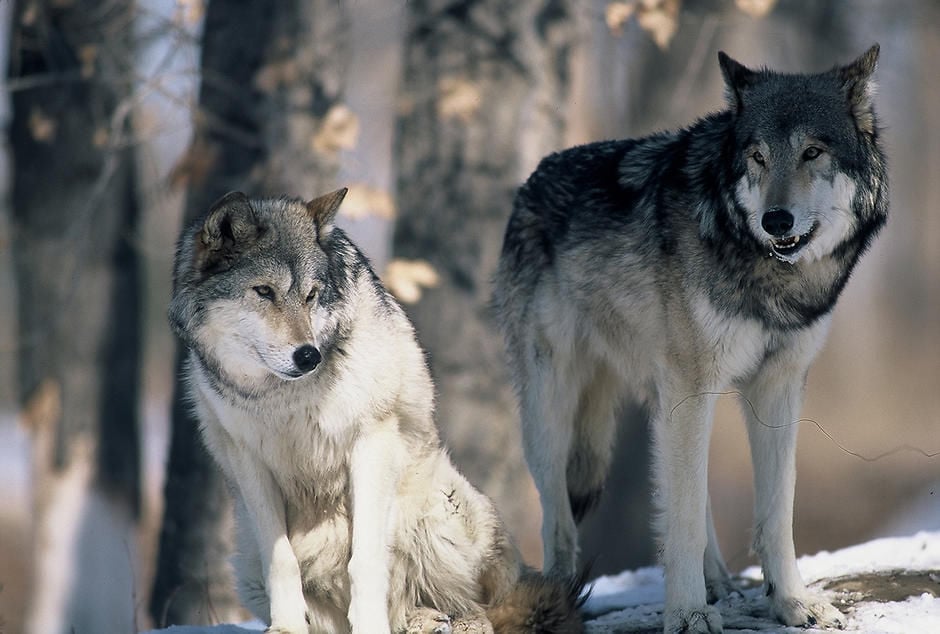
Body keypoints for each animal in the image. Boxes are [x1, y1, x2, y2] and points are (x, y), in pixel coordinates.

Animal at [169, 189, 584, 634]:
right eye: (264, 292)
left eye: (311, 295)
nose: (309, 356)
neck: (281, 396)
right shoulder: (249, 462)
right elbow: (281, 561)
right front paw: (286, 626)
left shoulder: (371, 441)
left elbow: (365, 559)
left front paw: (370, 624)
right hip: (245, 554)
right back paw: (421, 620)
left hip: (440, 508)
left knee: (485, 606)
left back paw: (448, 621)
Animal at [492, 45, 886, 633]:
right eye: (757, 157)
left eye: (813, 152)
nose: (775, 220)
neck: (765, 271)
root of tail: (531, 180)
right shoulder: (693, 387)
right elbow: (680, 521)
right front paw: (686, 614)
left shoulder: (776, 387)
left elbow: (776, 512)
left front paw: (792, 602)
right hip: (554, 409)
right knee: (558, 521)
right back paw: (560, 600)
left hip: (668, 399)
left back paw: (719, 585)